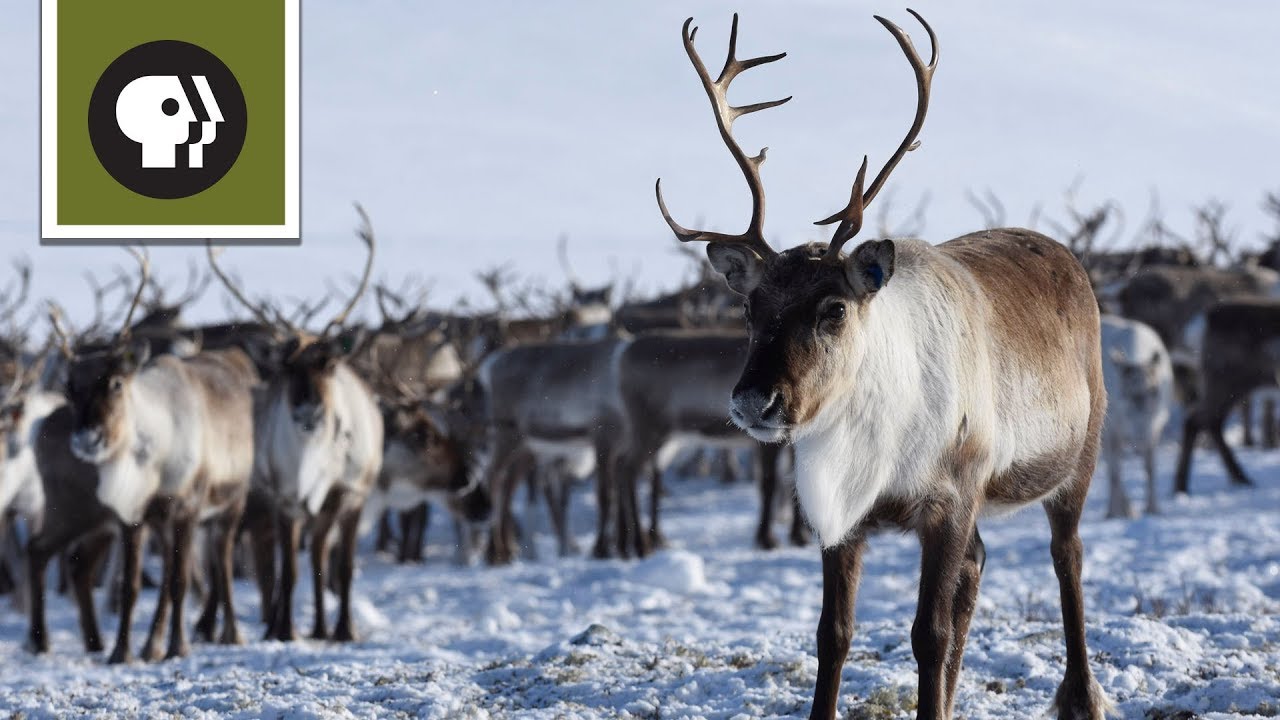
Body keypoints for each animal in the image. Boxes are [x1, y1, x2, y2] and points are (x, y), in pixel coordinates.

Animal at [54, 248, 260, 663]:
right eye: (69, 388)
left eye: (116, 383)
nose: (87, 437)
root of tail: (236, 358)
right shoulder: (134, 517)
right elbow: (131, 586)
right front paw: (122, 652)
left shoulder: (189, 507)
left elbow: (181, 581)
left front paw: (178, 647)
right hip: (164, 525)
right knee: (166, 575)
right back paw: (151, 644)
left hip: (230, 504)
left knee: (221, 563)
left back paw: (230, 633)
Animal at [208, 206, 383, 643]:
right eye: (286, 368)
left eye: (330, 365)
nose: (308, 411)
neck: (313, 463)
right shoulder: (286, 499)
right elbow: (289, 571)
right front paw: (284, 630)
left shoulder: (349, 495)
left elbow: (341, 567)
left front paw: (344, 630)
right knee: (251, 564)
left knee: (319, 554)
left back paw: (320, 625)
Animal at [654, 12, 1109, 720]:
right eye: (750, 307)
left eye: (834, 308)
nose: (752, 402)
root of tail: (1065, 255)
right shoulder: (838, 518)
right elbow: (833, 634)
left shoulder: (950, 497)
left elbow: (929, 632)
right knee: (978, 567)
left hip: (1077, 457)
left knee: (1069, 557)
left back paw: (1082, 696)